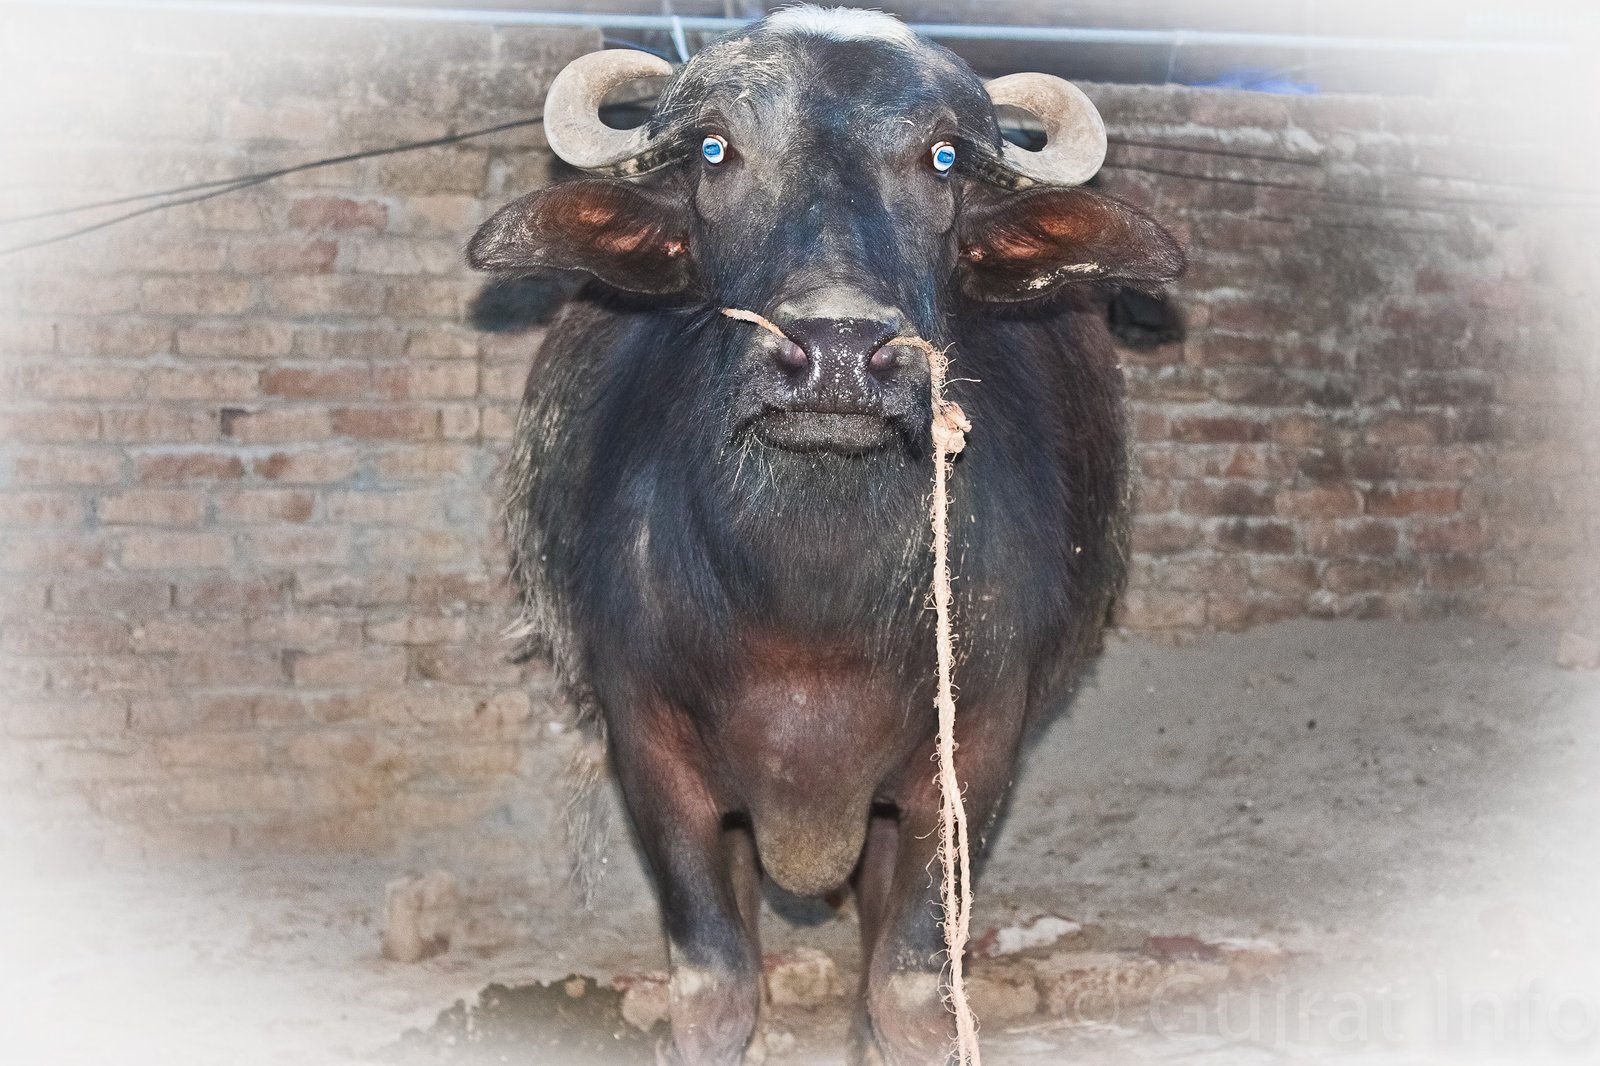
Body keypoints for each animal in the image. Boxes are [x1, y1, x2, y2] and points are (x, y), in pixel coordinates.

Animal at [468, 6, 1182, 1064]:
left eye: (941, 157)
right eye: (715, 149)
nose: (838, 354)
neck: (810, 601)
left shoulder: (972, 753)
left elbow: (910, 987)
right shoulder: (648, 744)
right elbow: (715, 983)